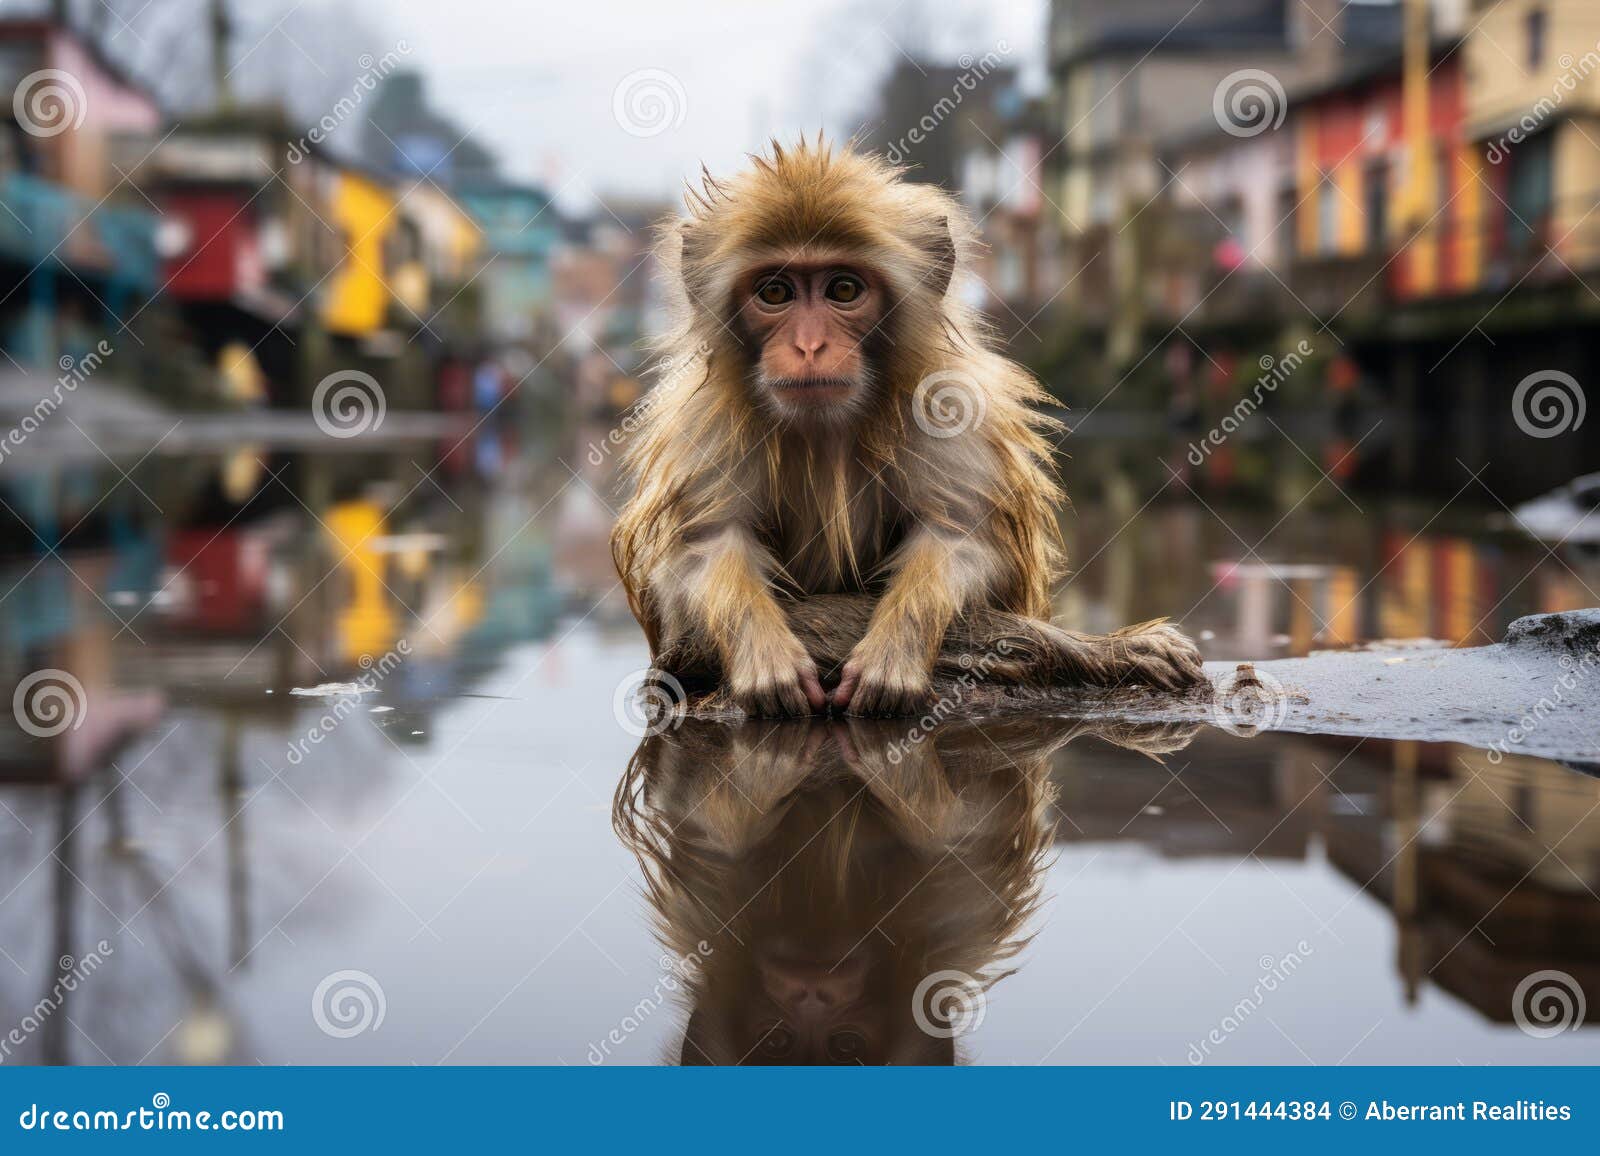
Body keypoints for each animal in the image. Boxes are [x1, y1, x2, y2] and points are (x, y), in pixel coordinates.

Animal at [612, 138, 1204, 717]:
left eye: (843, 290)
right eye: (775, 293)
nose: (809, 346)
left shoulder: (950, 410)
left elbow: (959, 535)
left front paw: (895, 648)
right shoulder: (703, 424)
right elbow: (703, 545)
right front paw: (765, 649)